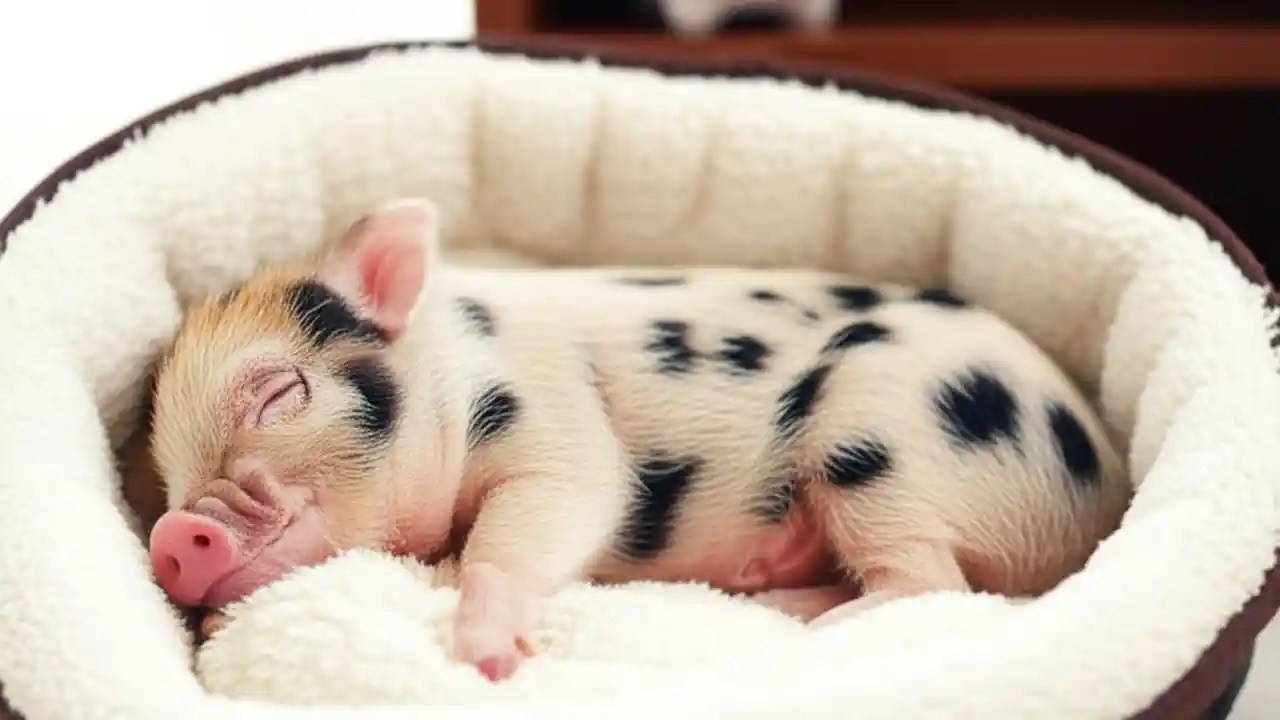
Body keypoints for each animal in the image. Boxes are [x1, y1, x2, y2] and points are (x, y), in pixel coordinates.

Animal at [147, 198, 1131, 681]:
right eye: (165, 473)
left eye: (281, 393)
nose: (172, 534)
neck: (452, 358)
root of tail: (1101, 498)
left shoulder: (552, 416)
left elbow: (541, 514)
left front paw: (489, 658)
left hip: (878, 426)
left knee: (928, 583)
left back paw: (780, 613)